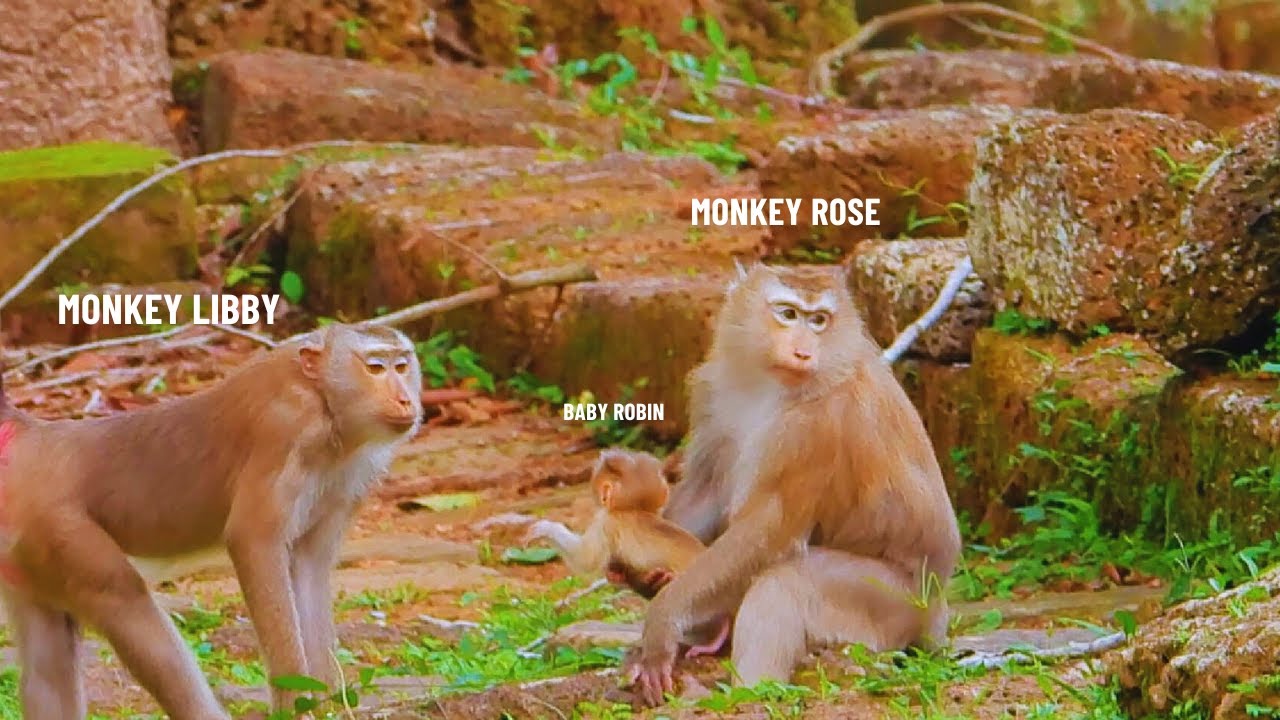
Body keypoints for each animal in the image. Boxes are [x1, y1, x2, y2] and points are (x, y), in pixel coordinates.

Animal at [0, 322, 423, 719]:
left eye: (402, 365)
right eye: (375, 367)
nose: (406, 399)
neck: (322, 399)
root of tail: (39, 438)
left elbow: (309, 563)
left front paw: (327, 701)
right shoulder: (285, 426)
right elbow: (253, 540)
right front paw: (295, 699)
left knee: (48, 666)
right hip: (54, 523)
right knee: (119, 596)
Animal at [624, 262, 962, 705]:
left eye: (818, 320)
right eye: (788, 314)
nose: (803, 352)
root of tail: (937, 610)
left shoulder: (817, 428)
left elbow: (769, 532)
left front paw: (662, 620)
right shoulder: (715, 392)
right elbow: (707, 489)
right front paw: (645, 569)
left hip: (894, 604)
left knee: (785, 583)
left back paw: (747, 695)